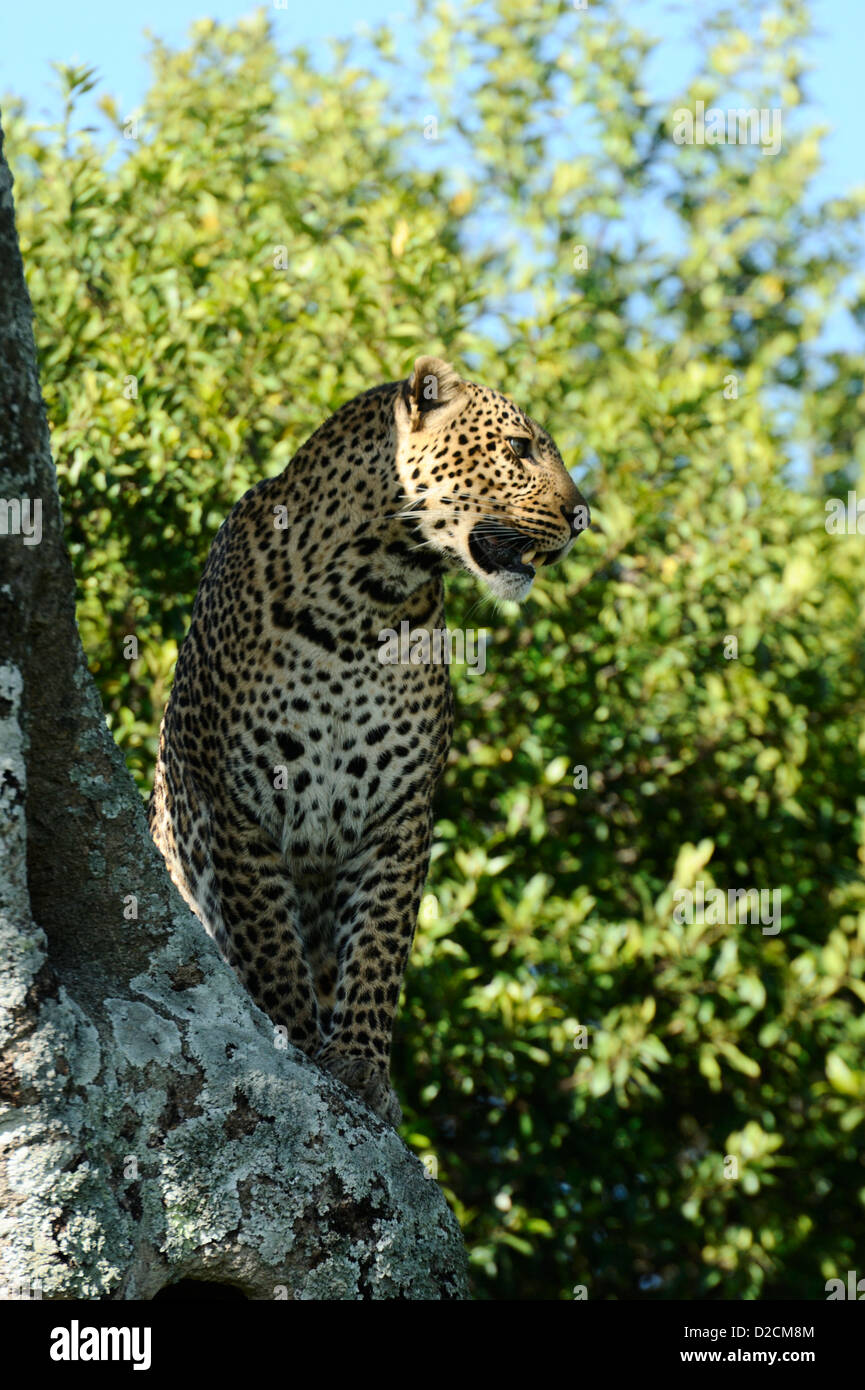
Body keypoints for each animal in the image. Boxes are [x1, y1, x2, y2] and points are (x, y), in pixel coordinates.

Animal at [148, 356, 589, 1126]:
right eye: (519, 449)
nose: (584, 517)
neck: (364, 599)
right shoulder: (235, 802)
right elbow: (270, 941)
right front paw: (298, 1046)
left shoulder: (397, 813)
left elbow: (379, 946)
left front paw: (360, 1064)